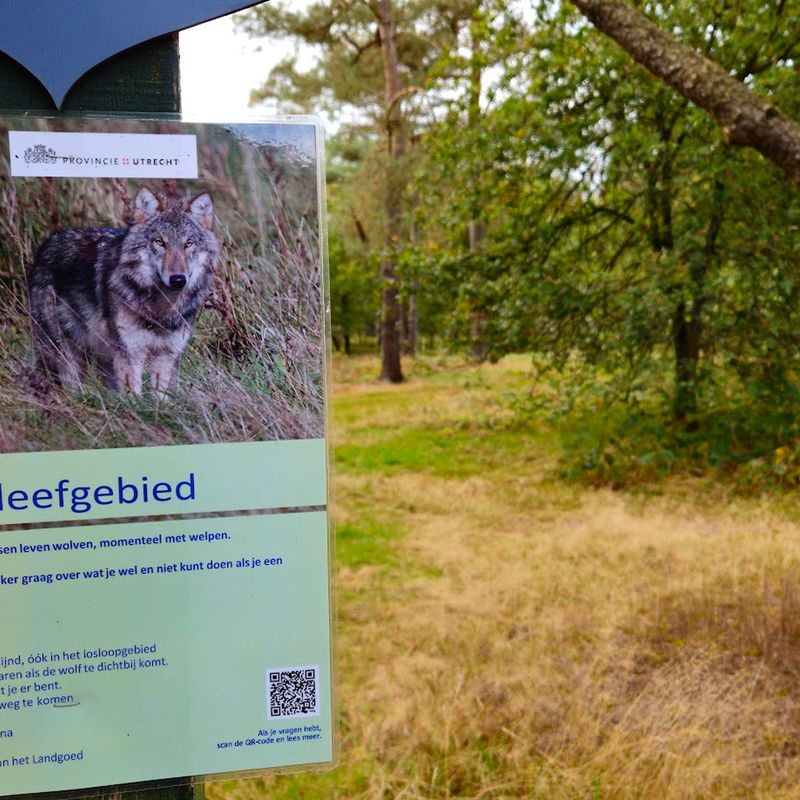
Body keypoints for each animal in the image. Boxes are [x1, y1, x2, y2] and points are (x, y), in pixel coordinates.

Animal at [28, 186, 219, 398]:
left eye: (188, 244)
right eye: (160, 242)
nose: (178, 279)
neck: (161, 309)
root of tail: (49, 242)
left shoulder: (166, 356)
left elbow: (160, 398)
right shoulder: (130, 354)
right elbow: (134, 397)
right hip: (67, 352)